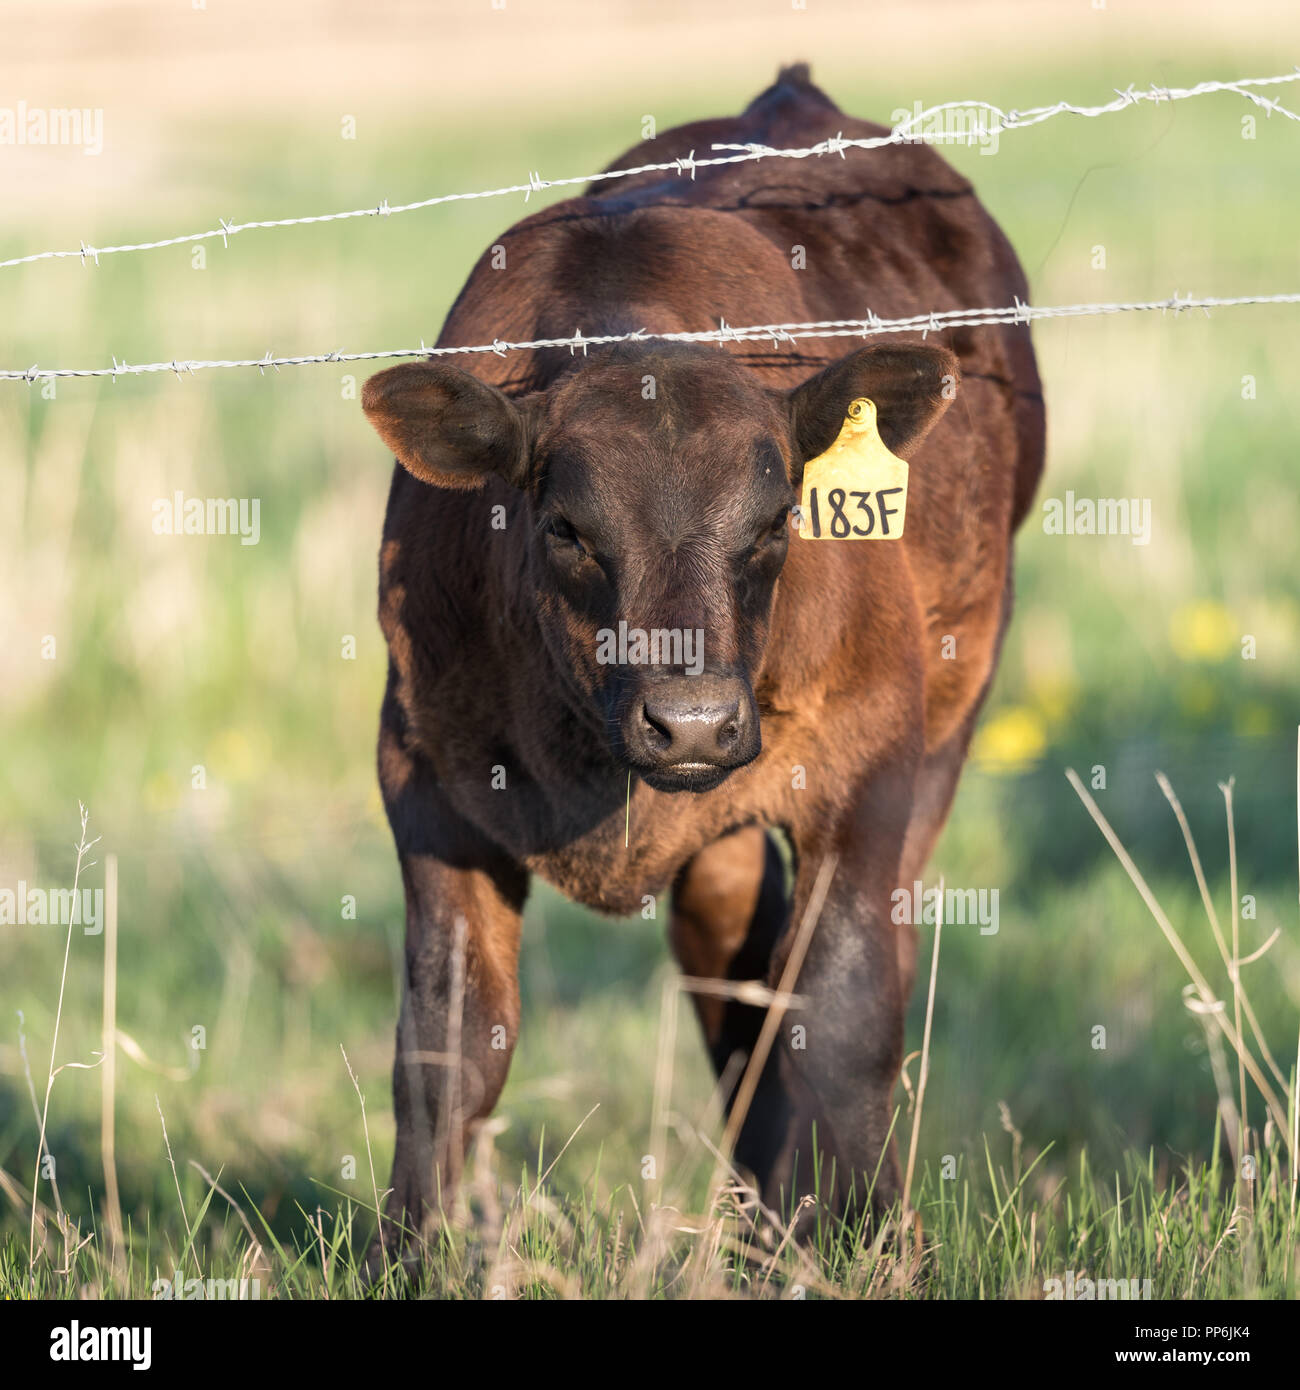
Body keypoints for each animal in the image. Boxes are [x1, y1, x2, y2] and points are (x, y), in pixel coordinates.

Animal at [360, 64, 1044, 1258]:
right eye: (566, 528)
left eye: (776, 520)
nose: (691, 720)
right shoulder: (428, 783)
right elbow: (448, 1050)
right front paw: (414, 1253)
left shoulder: (867, 768)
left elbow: (845, 1017)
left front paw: (871, 1244)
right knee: (732, 962)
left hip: (950, 712)